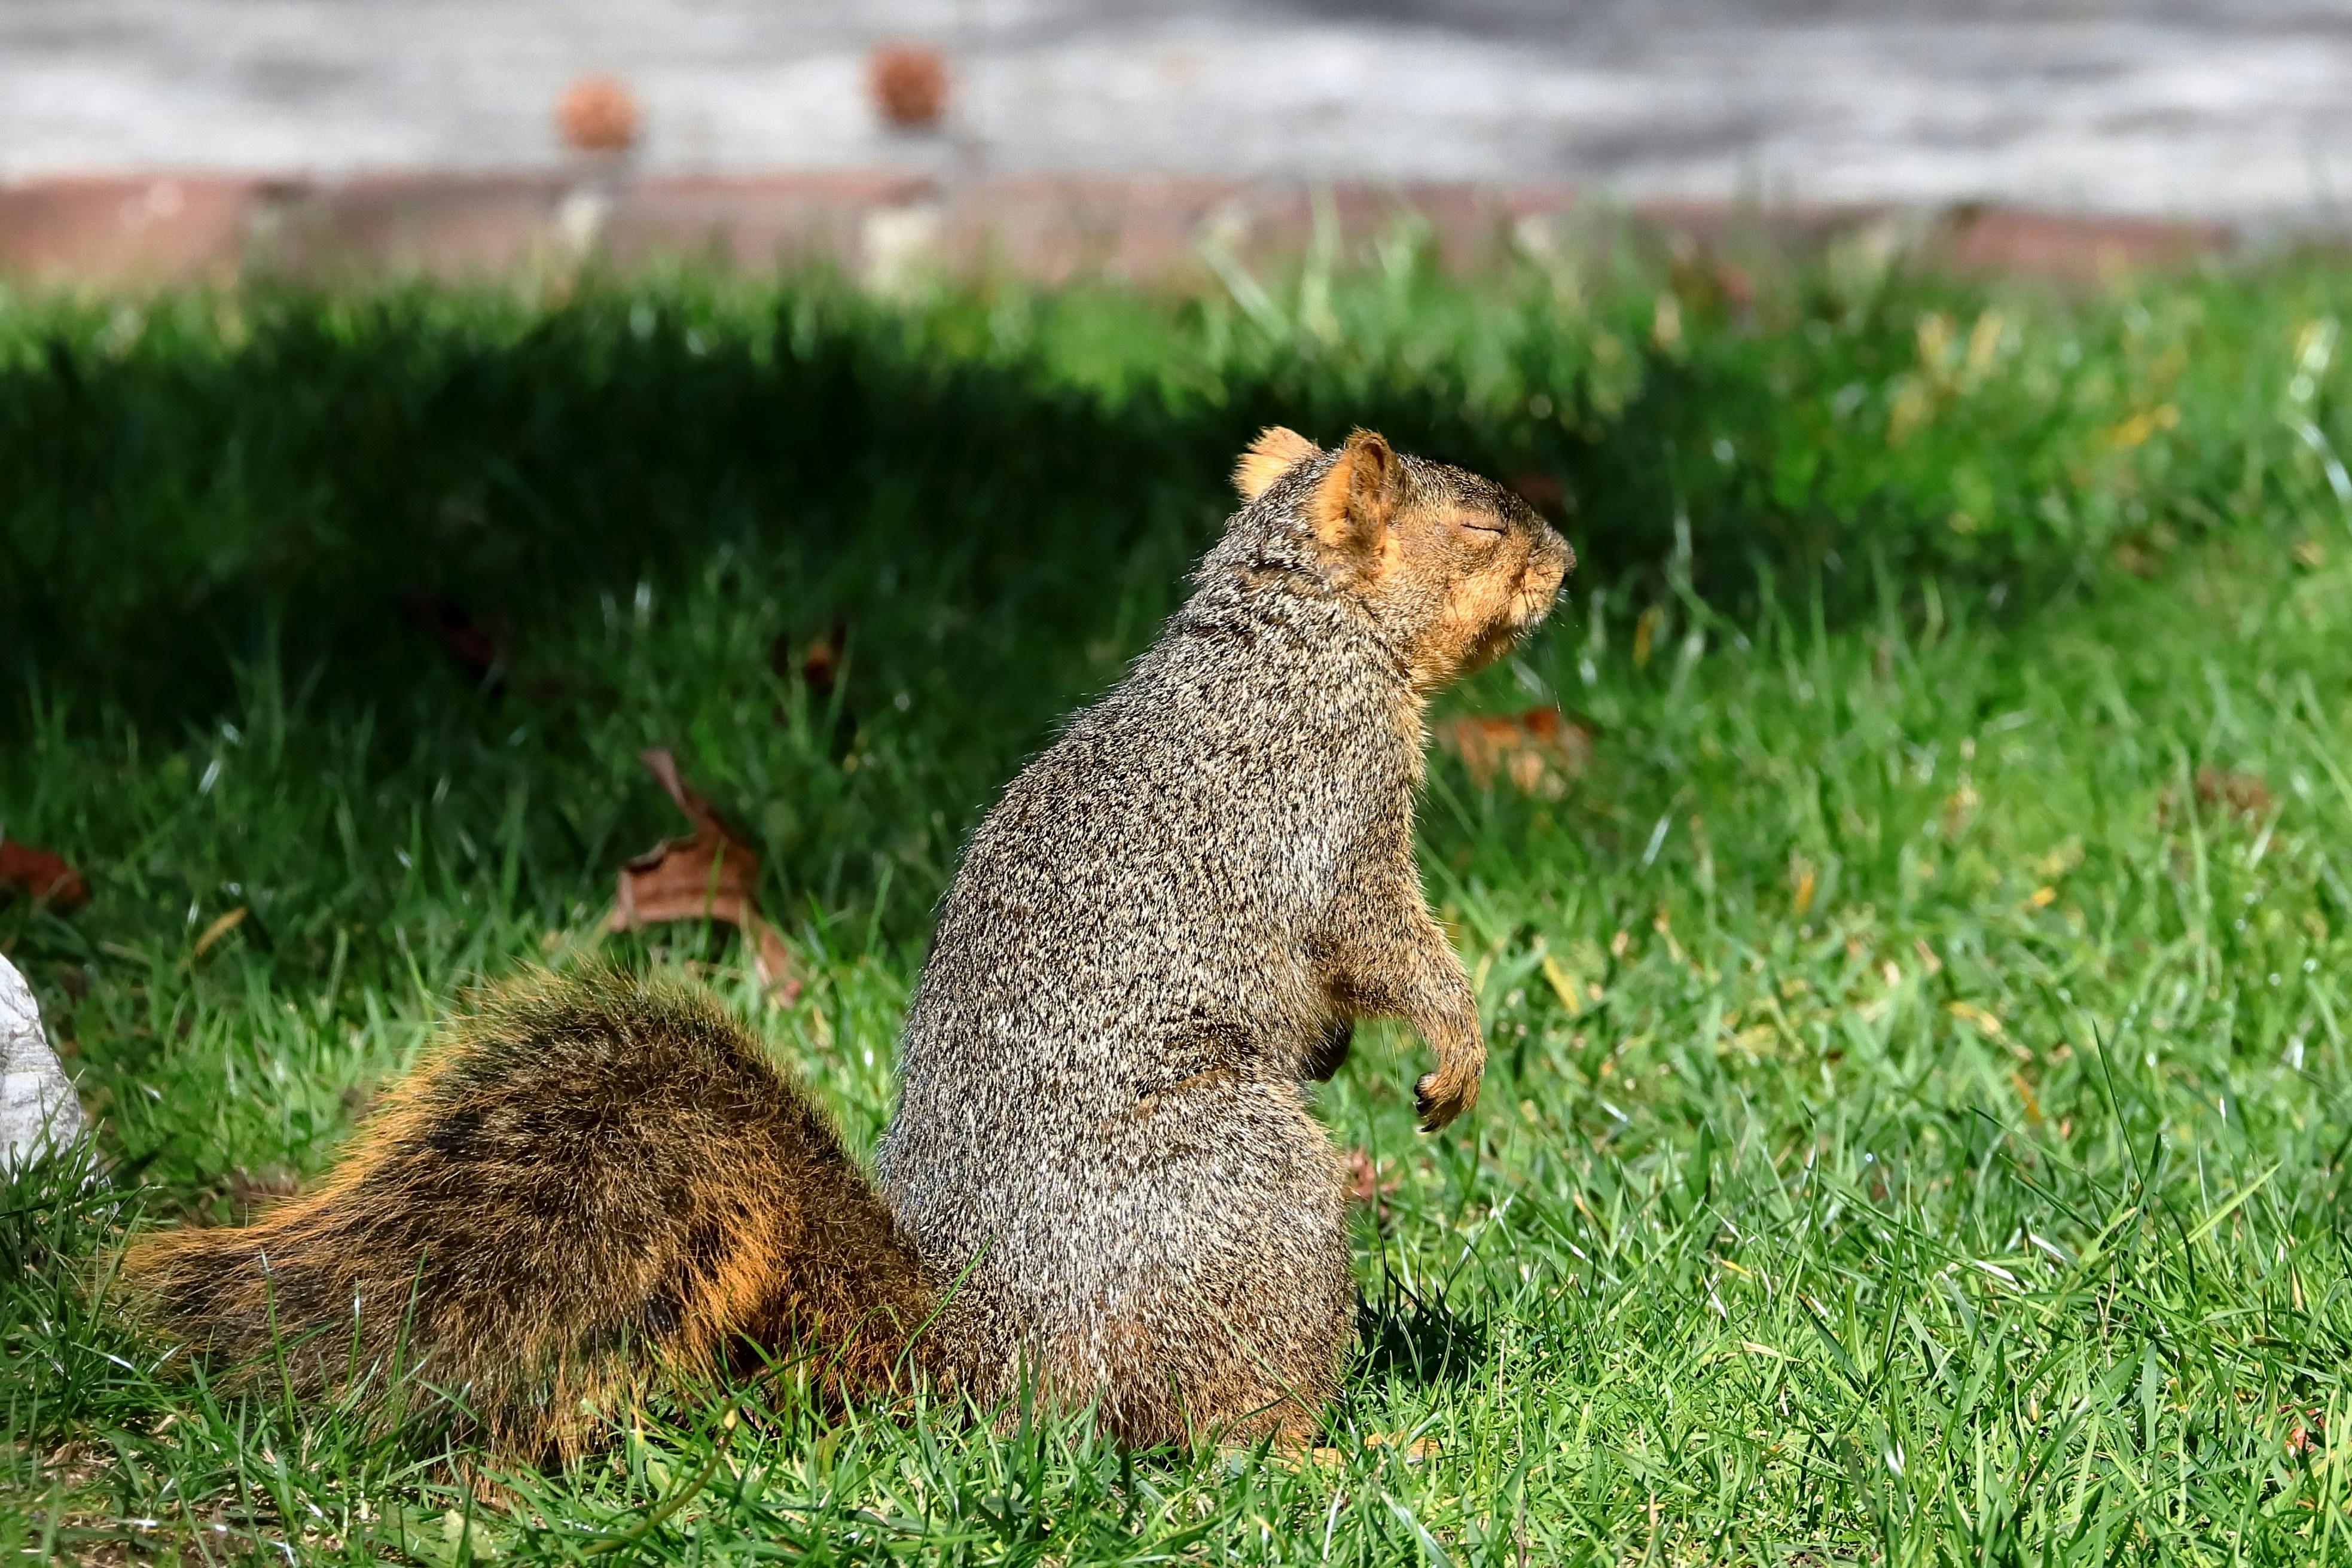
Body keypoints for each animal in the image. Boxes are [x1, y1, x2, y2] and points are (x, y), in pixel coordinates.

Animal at [123, 427, 1572, 1459]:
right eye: (1479, 528)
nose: (1565, 562)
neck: (1296, 637)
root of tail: (978, 1358)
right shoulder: (1334, 812)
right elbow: (1385, 941)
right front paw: (1456, 1048)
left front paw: (1344, 1047)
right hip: (1251, 1206)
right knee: (1194, 1422)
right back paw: (1316, 1449)